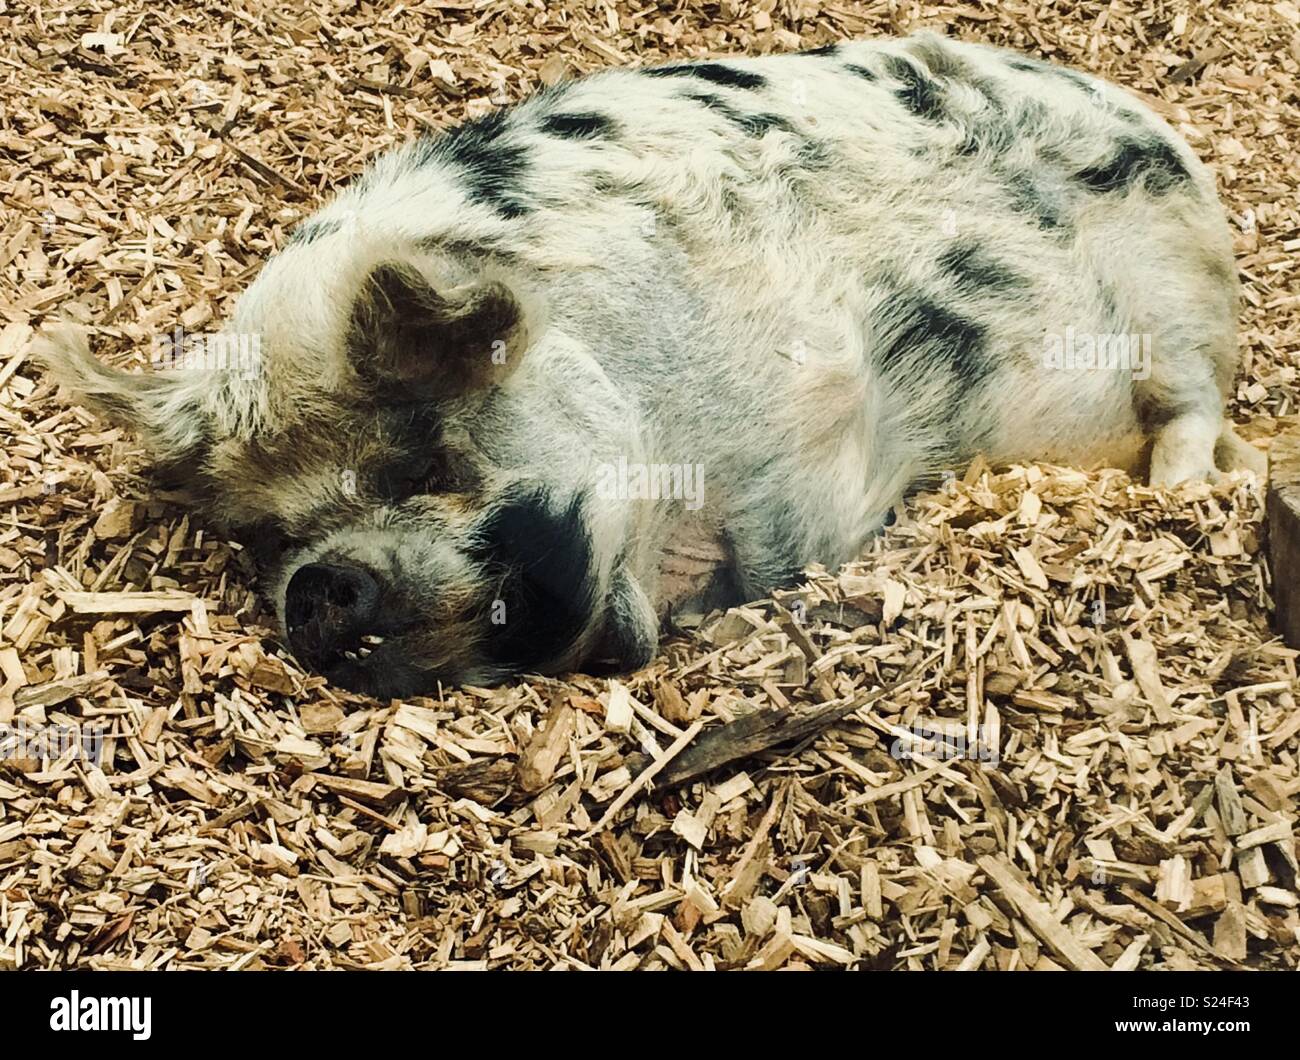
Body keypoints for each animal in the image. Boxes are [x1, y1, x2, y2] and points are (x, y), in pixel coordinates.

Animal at [37, 31, 1263, 697]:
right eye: (266, 536)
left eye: (417, 462)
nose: (316, 587)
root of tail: (1166, 135)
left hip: (1171, 304)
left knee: (1196, 410)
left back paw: (1190, 490)